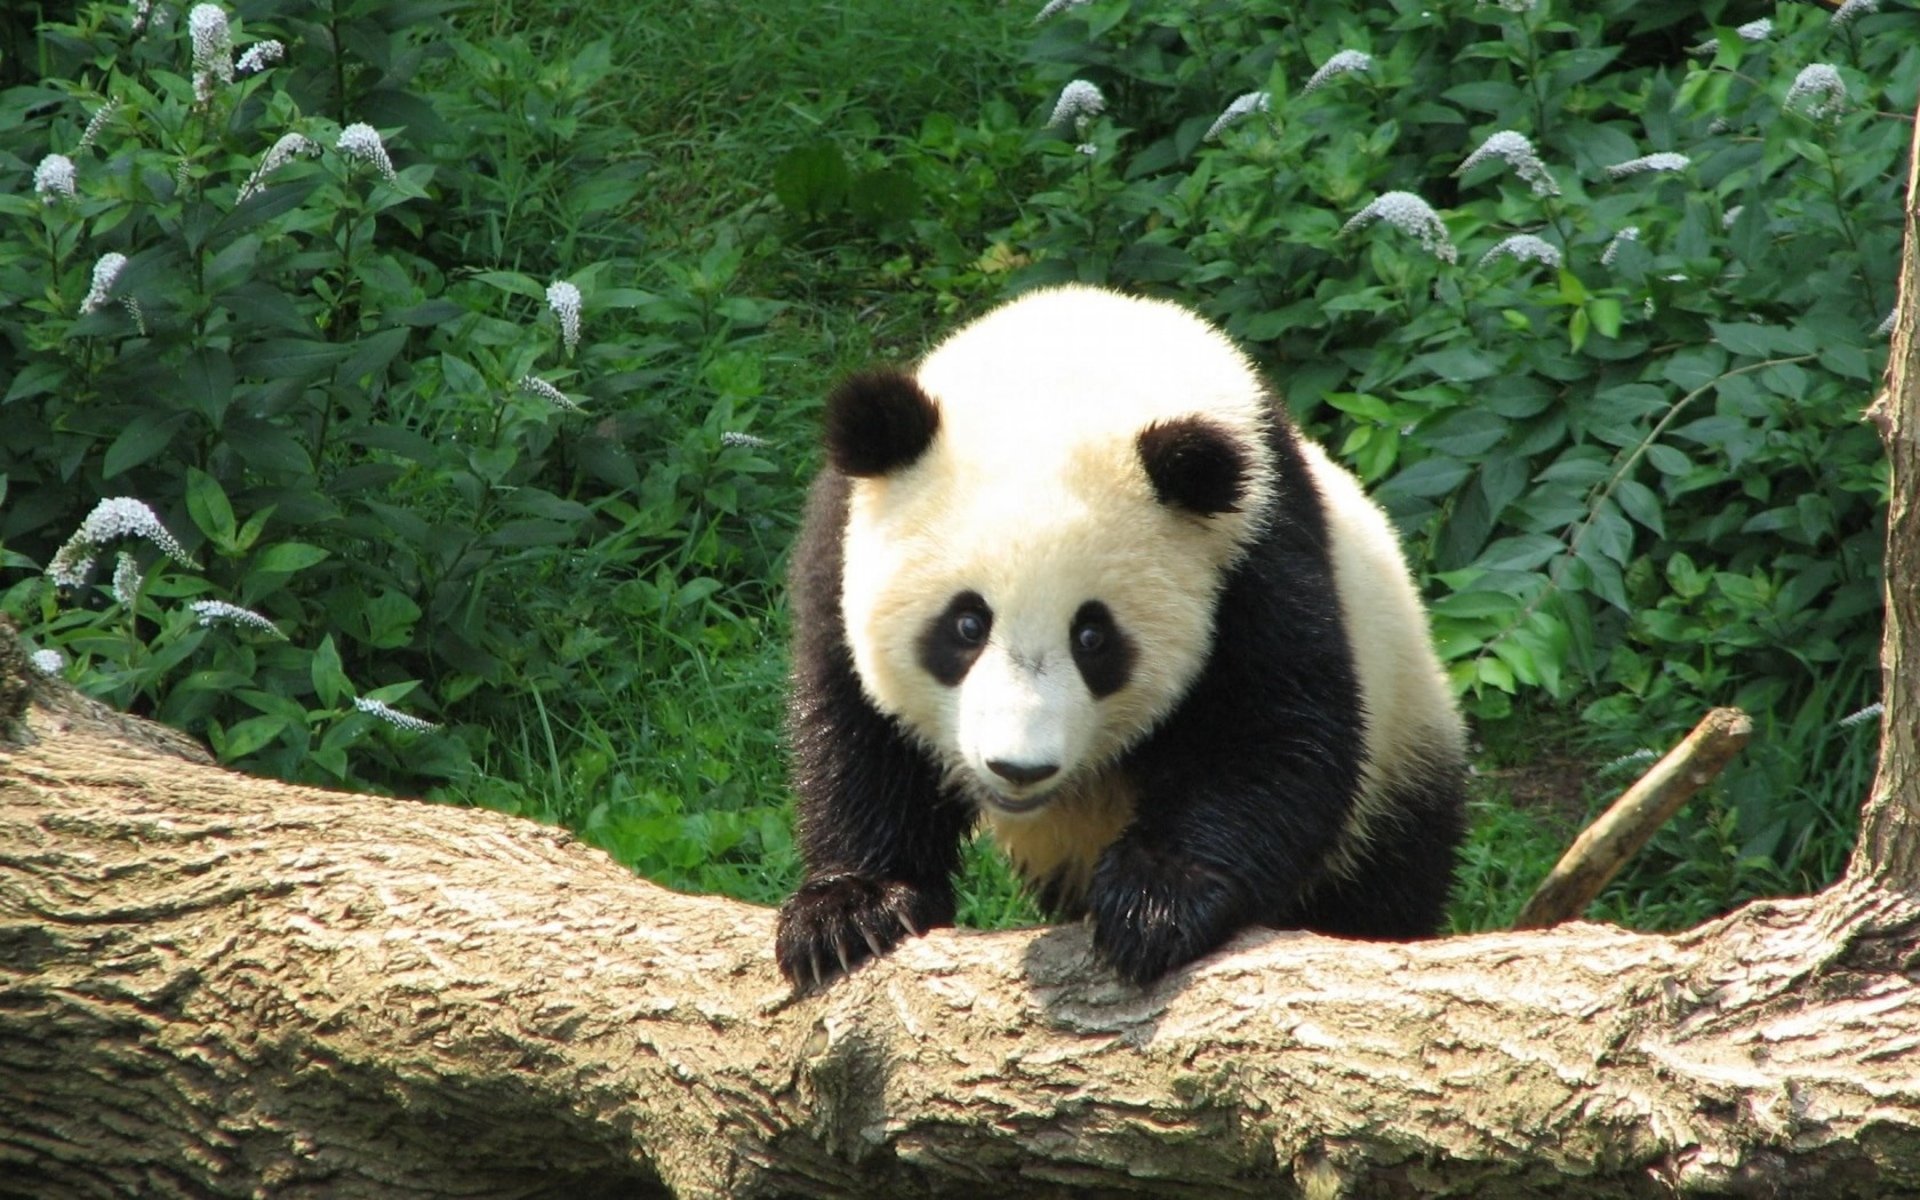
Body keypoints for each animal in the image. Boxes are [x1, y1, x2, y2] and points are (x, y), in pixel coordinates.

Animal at [775, 284, 1467, 990]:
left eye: (1093, 638)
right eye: (966, 624)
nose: (1018, 767)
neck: (1079, 362)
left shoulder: (1257, 548)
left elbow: (1277, 732)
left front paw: (1154, 904)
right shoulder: (840, 542)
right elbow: (852, 724)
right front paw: (850, 911)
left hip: (1401, 744)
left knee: (1383, 879)